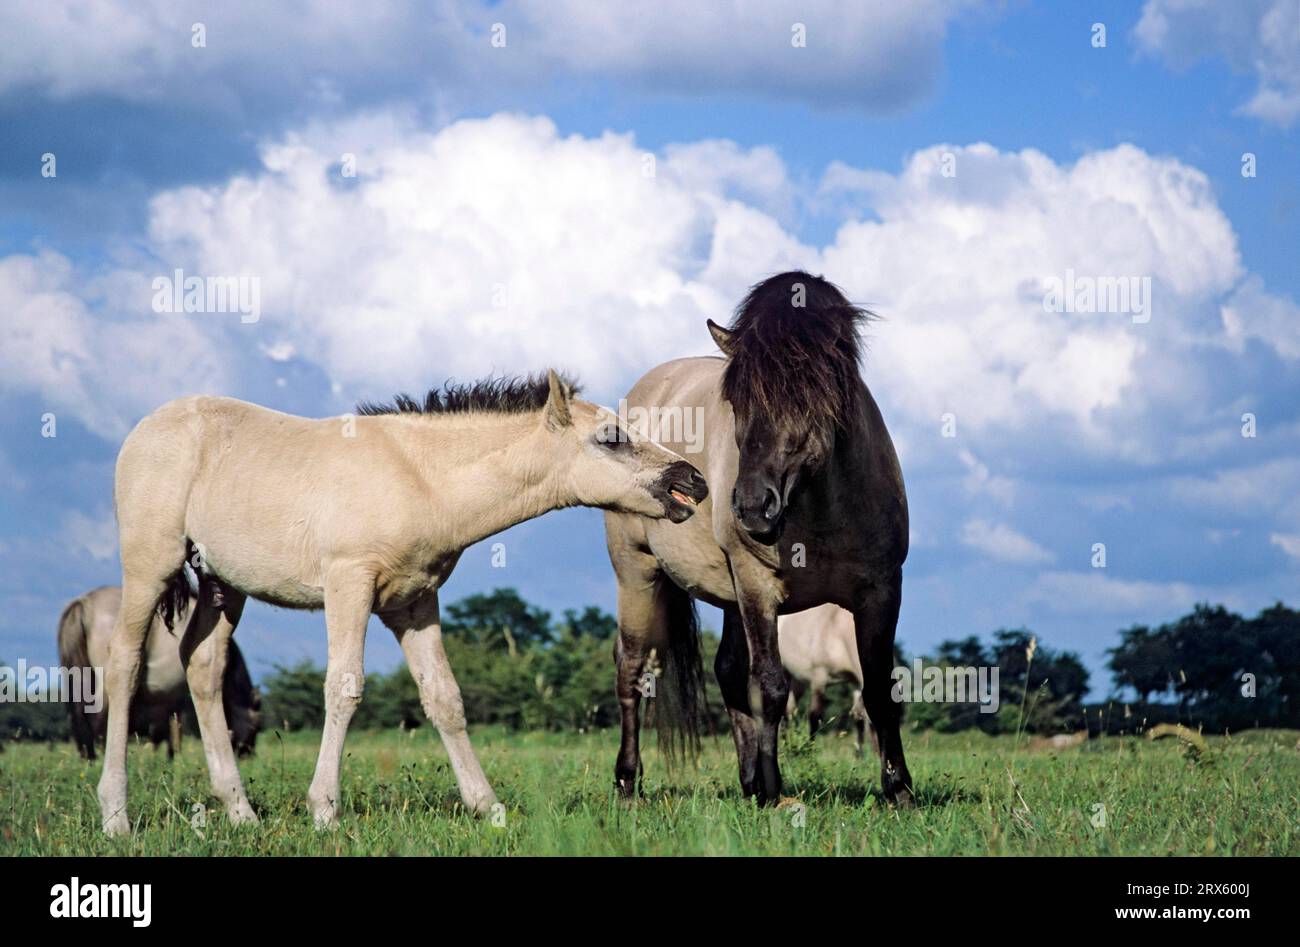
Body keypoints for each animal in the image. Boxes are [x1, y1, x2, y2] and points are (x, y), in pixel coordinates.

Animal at [57, 585, 260, 760]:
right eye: (254, 728)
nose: (248, 755)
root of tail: (84, 604)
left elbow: (162, 731)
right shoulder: (176, 693)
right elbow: (173, 729)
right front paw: (174, 758)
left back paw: (88, 758)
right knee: (98, 719)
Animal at [97, 371, 708, 834]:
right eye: (610, 438)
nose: (692, 482)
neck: (420, 478)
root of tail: (146, 427)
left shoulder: (414, 603)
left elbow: (445, 698)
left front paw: (488, 808)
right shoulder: (349, 583)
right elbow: (344, 688)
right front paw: (325, 811)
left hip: (225, 585)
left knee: (202, 665)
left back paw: (239, 811)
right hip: (150, 565)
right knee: (123, 663)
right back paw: (116, 815)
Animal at [778, 603, 876, 755]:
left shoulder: (856, 684)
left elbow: (858, 717)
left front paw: (859, 757)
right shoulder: (819, 678)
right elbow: (815, 716)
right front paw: (810, 751)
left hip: (797, 681)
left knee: (788, 711)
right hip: (786, 673)